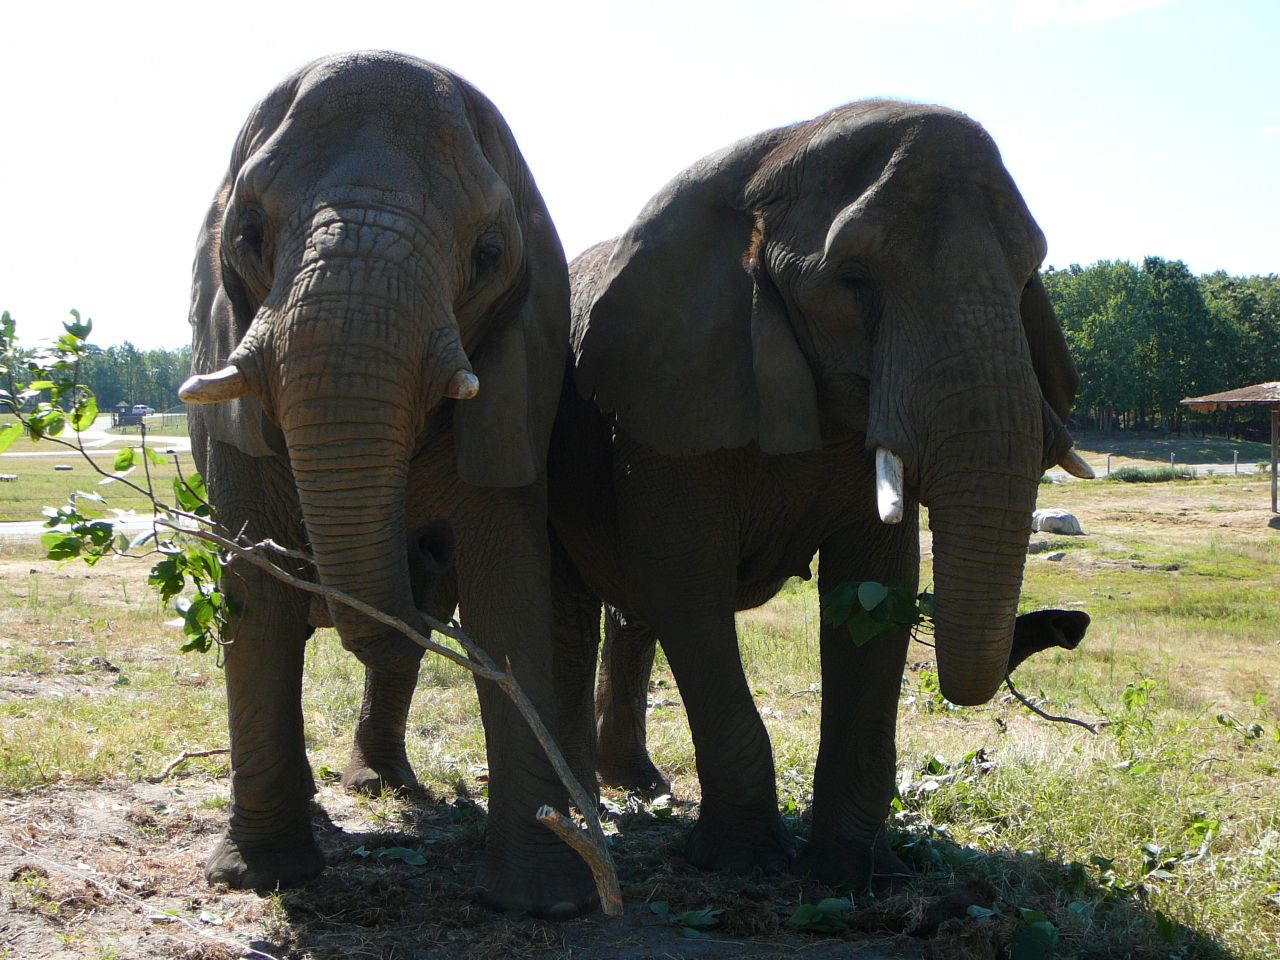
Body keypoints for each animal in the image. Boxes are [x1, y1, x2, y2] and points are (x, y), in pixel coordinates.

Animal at [180, 51, 595, 918]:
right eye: (250, 234)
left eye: (489, 253)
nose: (423, 550)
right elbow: (255, 590)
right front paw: (259, 877)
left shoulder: (519, 391)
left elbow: (510, 589)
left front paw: (547, 902)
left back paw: (381, 785)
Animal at [546, 99, 1093, 889]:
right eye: (853, 278)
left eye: (1029, 277)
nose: (1071, 624)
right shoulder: (664, 400)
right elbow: (684, 579)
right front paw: (744, 863)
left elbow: (875, 586)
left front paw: (855, 873)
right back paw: (588, 804)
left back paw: (640, 788)